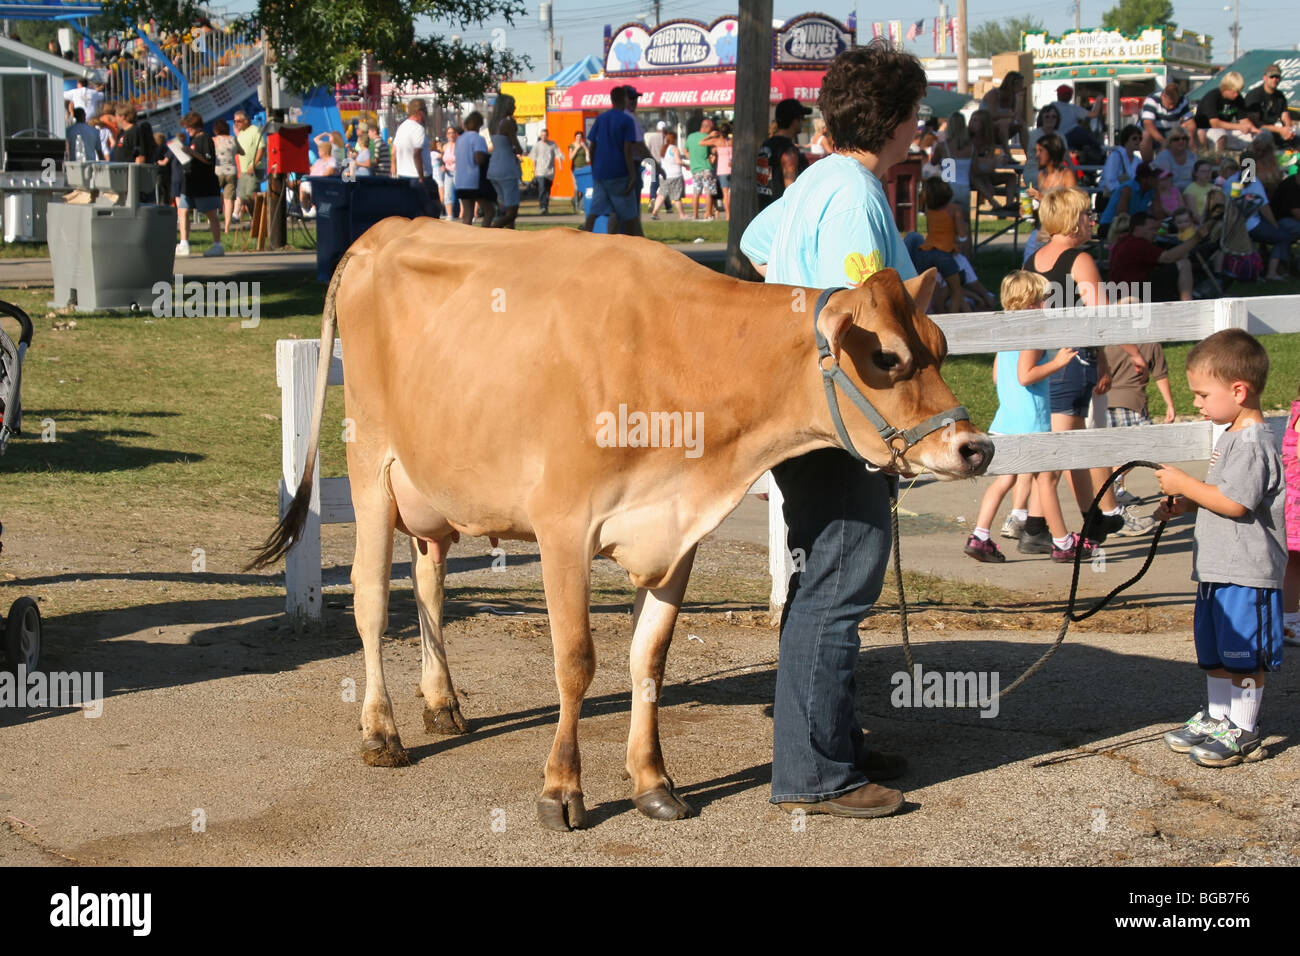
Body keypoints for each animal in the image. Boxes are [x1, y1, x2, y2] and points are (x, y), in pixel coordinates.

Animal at [251, 217, 992, 831]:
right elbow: (576, 662)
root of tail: (384, 229)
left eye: (940, 344)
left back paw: (441, 703)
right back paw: (381, 733)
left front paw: (653, 782)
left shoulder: (676, 533)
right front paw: (561, 790)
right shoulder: (563, 528)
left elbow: (649, 657)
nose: (975, 448)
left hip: (434, 486)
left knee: (429, 583)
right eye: (887, 357)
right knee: (373, 602)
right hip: (370, 463)